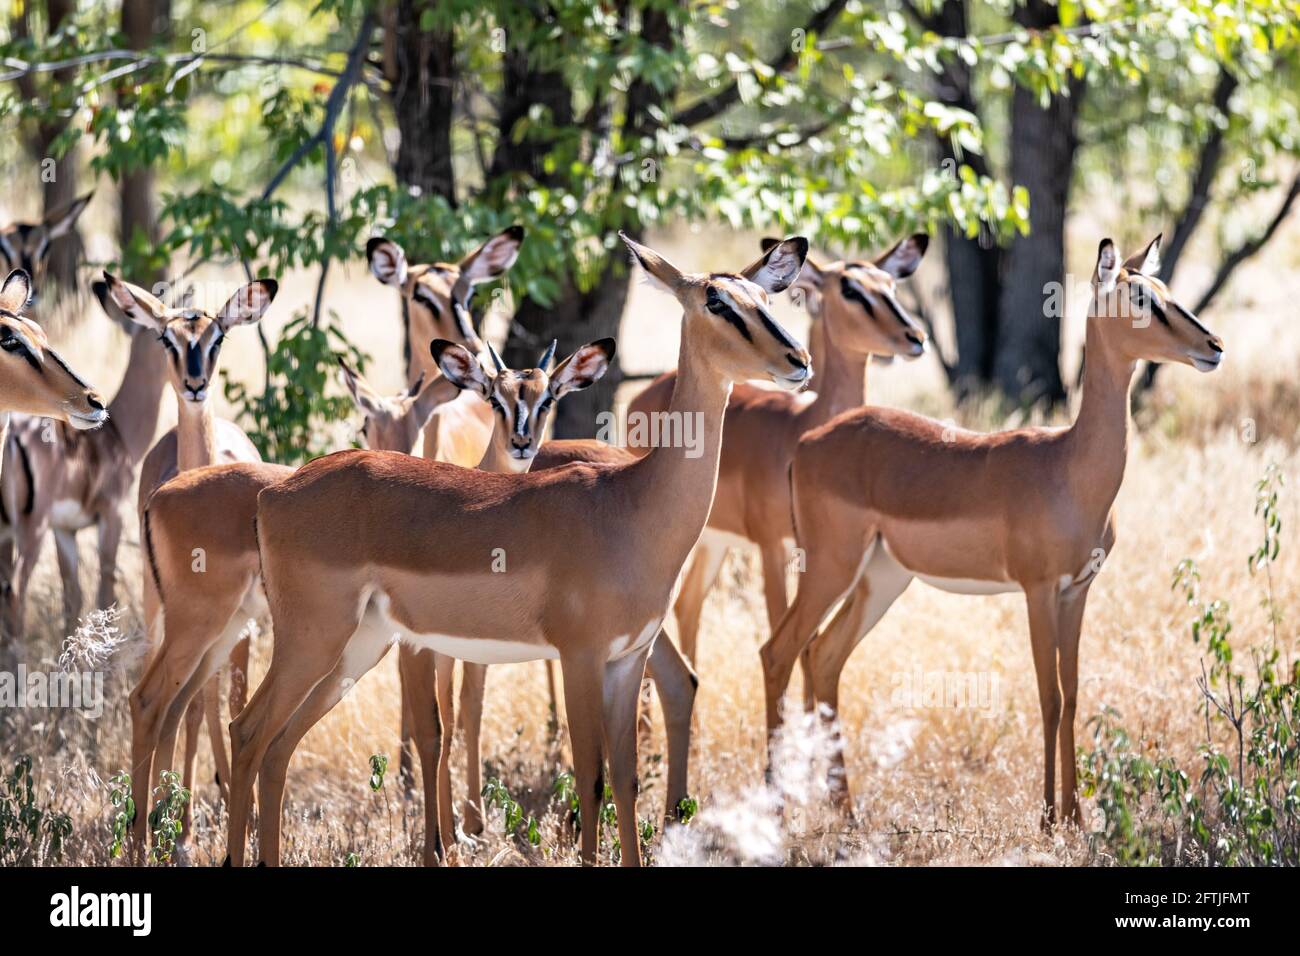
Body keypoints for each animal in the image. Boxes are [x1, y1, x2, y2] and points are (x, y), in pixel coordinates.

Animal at [0, 280, 171, 638]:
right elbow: (105, 591)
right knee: (15, 592)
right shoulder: (111, 516)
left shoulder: (65, 530)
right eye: (164, 335)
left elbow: (73, 596)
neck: (118, 436)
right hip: (31, 528)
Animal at [101, 271, 278, 852]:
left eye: (217, 338)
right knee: (156, 702)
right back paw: (150, 834)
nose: (195, 384)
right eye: (167, 339)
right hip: (182, 622)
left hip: (220, 628)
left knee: (190, 702)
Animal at [219, 233, 812, 867]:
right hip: (313, 640)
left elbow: (625, 777)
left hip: (358, 648)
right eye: (716, 301)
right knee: (248, 731)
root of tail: (274, 494)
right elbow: (589, 778)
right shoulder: (579, 657)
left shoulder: (628, 660)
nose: (798, 361)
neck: (631, 503)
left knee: (278, 747)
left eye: (764, 298)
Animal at [627, 235, 929, 682]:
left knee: (689, 605)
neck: (802, 425)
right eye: (851, 289)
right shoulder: (772, 547)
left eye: (890, 285)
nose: (915, 337)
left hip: (715, 540)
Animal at [759, 236, 1225, 828]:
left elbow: (1073, 694)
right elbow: (1048, 695)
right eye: (1141, 297)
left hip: (880, 579)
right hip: (831, 567)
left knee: (822, 655)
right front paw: (1049, 819)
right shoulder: (1037, 590)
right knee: (778, 651)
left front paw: (1076, 816)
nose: (1213, 346)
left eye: (1164, 289)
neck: (1069, 466)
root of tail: (807, 443)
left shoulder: (1076, 592)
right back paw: (777, 810)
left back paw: (846, 812)